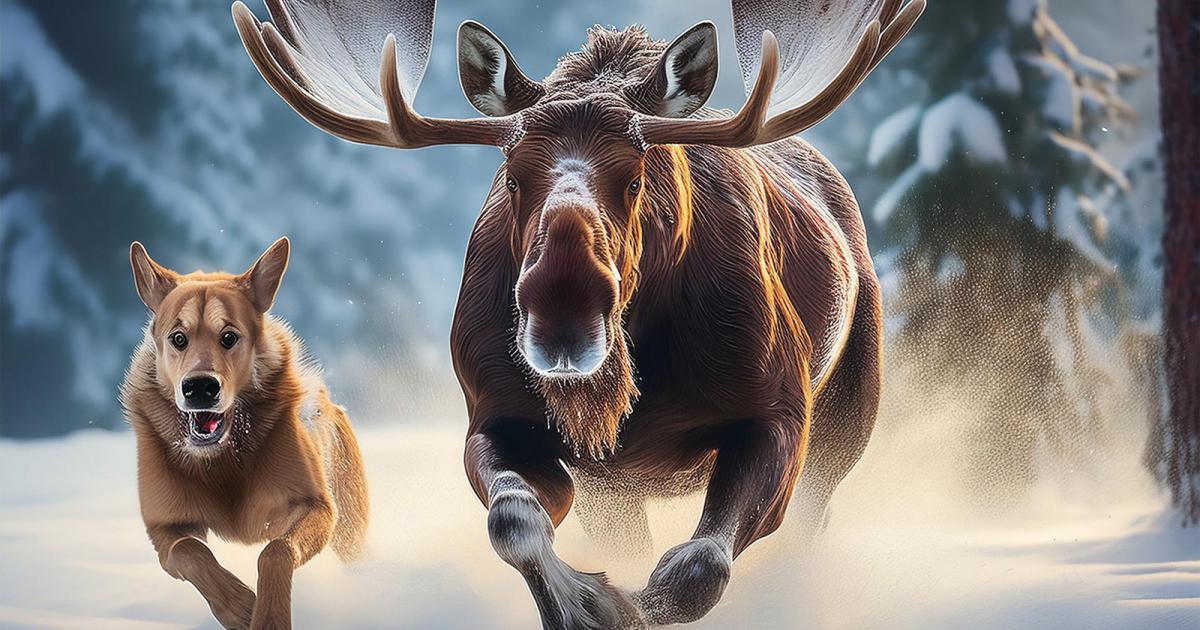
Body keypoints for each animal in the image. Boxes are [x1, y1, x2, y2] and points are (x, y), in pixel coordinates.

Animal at [233, 0, 924, 627]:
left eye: (639, 175)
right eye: (513, 176)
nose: (563, 315)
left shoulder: (778, 413)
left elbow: (694, 572)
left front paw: (612, 605)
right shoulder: (505, 421)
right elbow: (513, 520)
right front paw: (580, 601)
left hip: (848, 420)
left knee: (810, 524)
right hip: (612, 490)